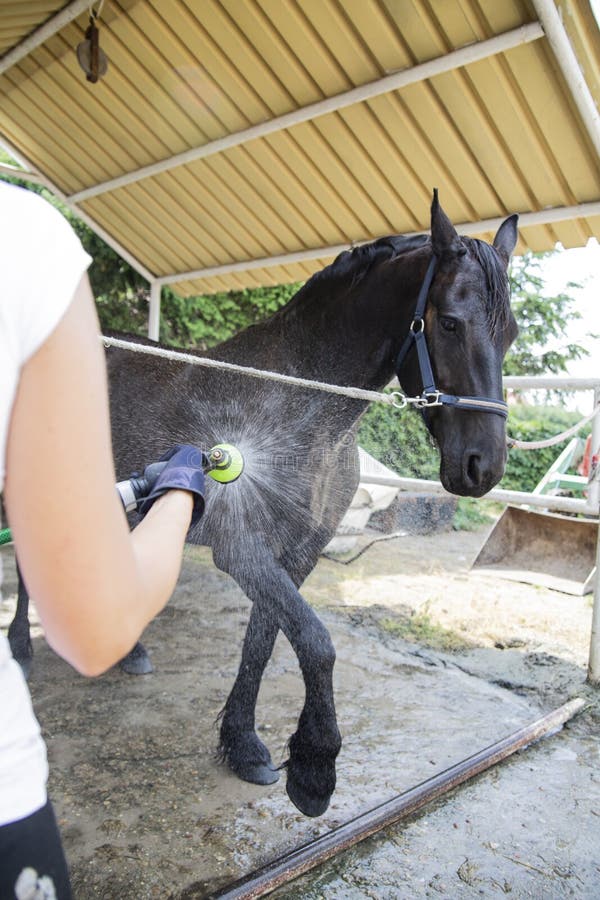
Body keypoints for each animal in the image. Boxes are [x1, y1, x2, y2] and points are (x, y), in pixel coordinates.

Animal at [8, 192, 518, 817]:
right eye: (448, 322)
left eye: (511, 333)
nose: (482, 468)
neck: (301, 402)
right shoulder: (242, 549)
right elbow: (317, 645)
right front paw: (315, 767)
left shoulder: (296, 555)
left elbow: (268, 640)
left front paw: (243, 743)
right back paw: (20, 648)